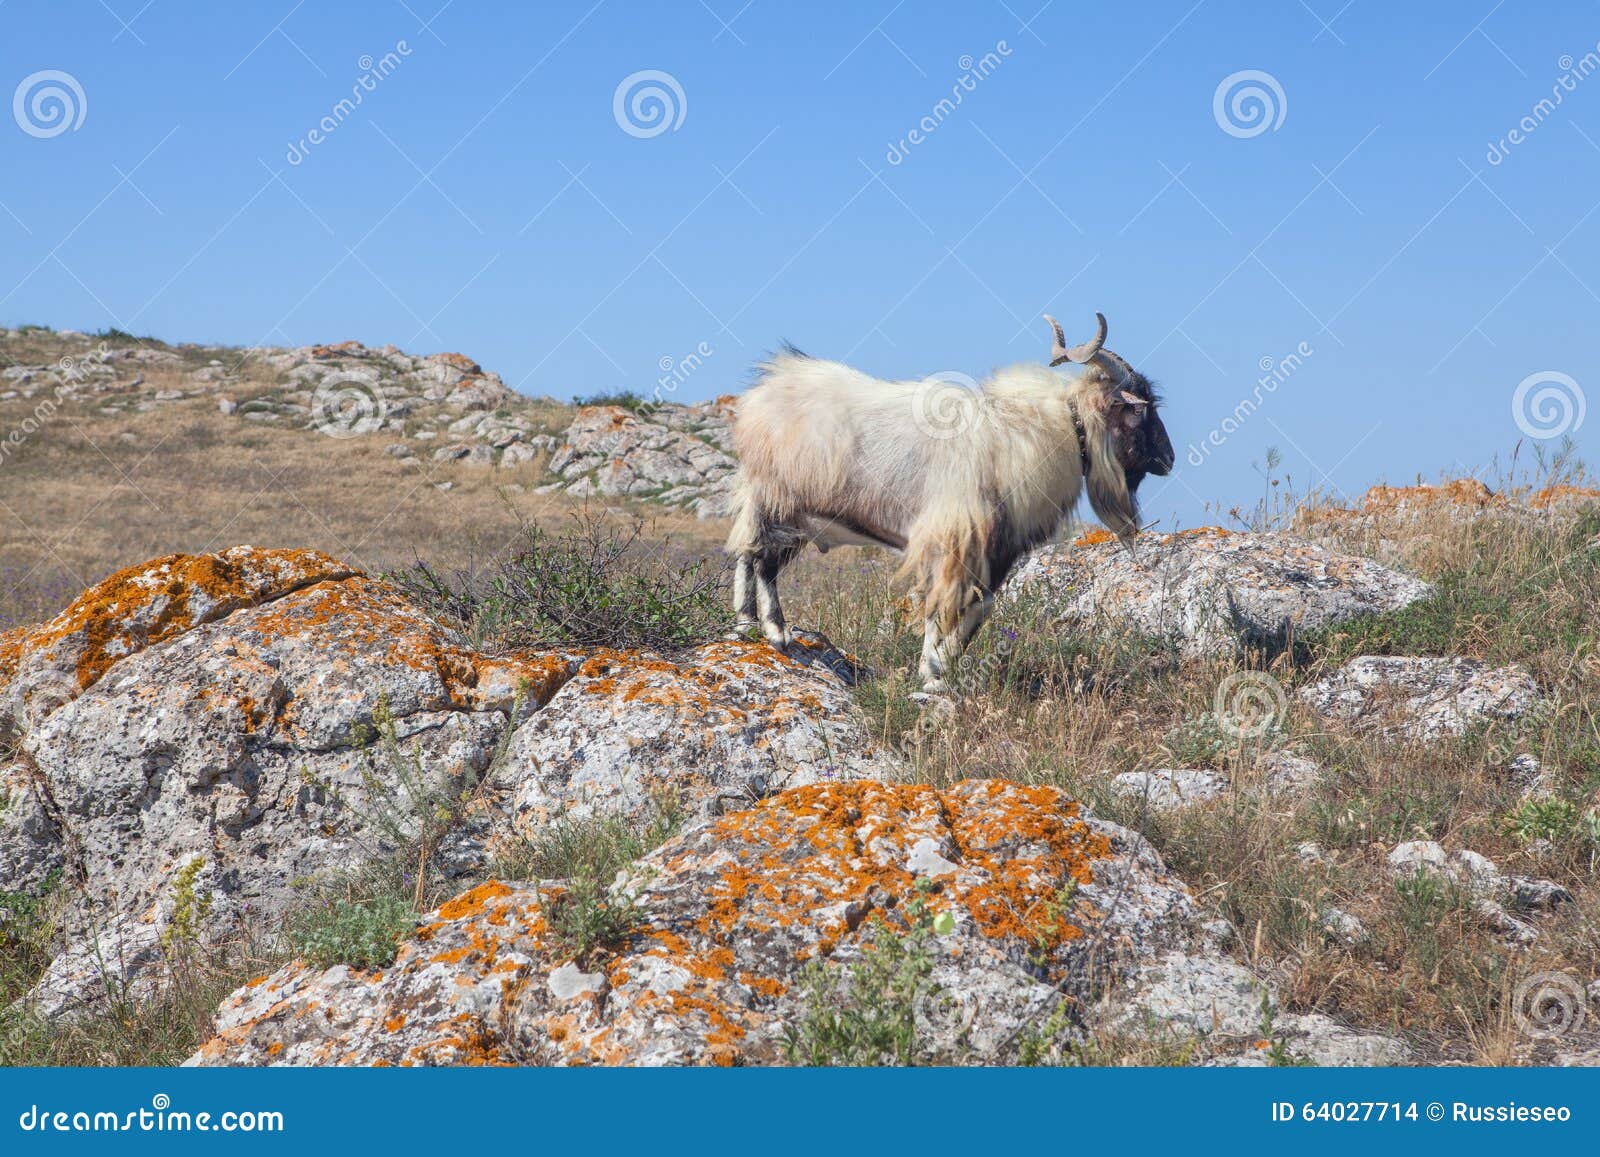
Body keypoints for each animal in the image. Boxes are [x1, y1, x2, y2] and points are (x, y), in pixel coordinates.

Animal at [725, 312, 1175, 691]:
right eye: (1140, 408)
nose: (1168, 458)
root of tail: (761, 398)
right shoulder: (955, 539)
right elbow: (945, 608)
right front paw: (934, 674)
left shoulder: (990, 551)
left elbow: (976, 607)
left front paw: (938, 668)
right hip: (784, 503)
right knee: (764, 561)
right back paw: (776, 633)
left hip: (770, 506)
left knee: (747, 551)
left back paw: (744, 624)